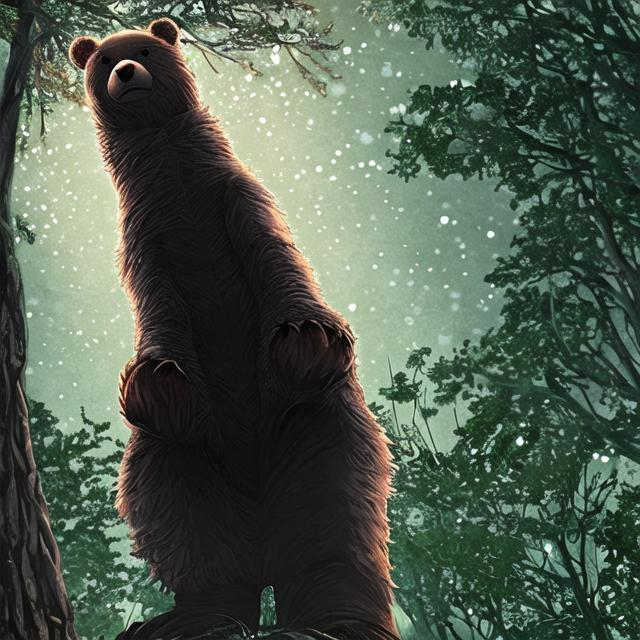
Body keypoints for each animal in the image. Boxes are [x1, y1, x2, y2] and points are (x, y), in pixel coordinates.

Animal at [69, 19, 398, 640]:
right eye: (101, 61)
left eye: (145, 48)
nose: (126, 72)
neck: (177, 188)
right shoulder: (147, 238)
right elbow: (157, 307)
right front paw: (154, 378)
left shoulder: (234, 203)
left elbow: (275, 258)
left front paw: (307, 339)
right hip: (190, 450)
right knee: (187, 523)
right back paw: (189, 616)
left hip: (315, 426)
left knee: (330, 524)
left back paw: (336, 621)